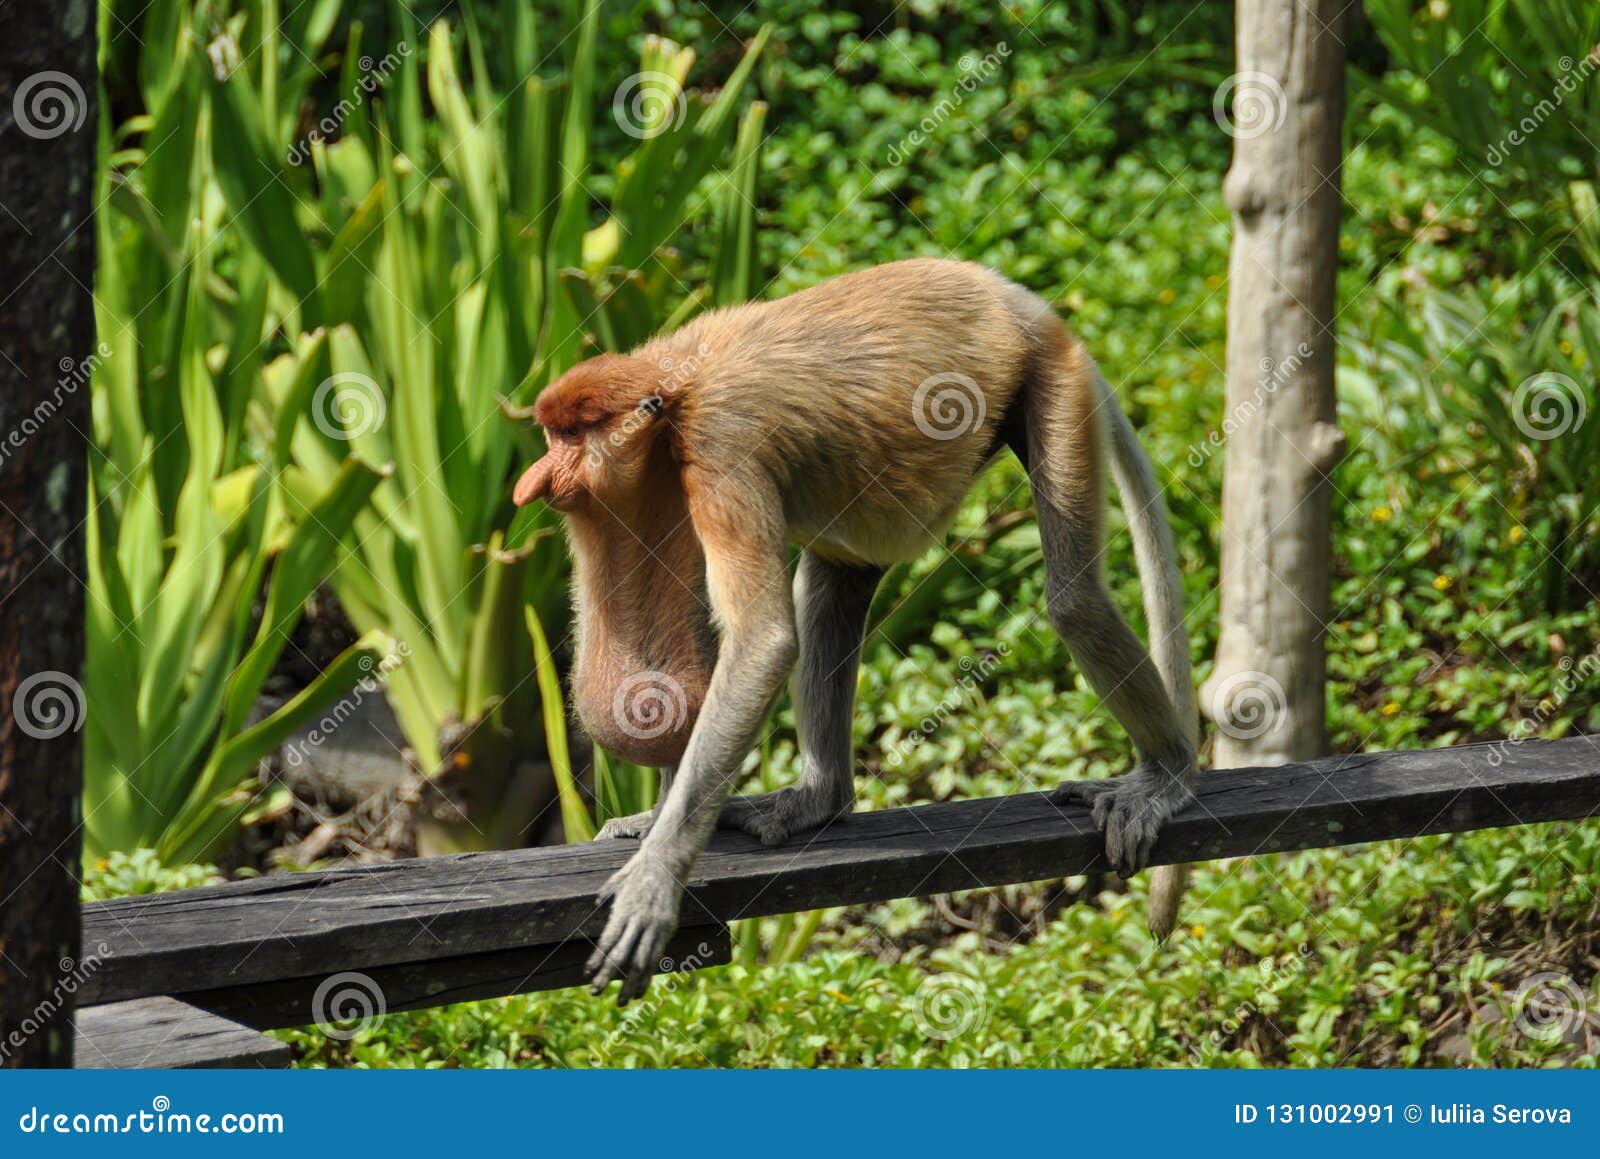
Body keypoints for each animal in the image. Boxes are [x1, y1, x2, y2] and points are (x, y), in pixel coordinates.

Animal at [513, 258, 1198, 1003]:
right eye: (552, 434)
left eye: (571, 436)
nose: (533, 480)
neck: (672, 399)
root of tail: (1017, 301)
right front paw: (650, 819)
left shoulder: (719, 455)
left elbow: (762, 641)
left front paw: (655, 878)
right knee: (834, 583)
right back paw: (819, 800)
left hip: (1053, 379)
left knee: (1075, 602)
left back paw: (1168, 775)